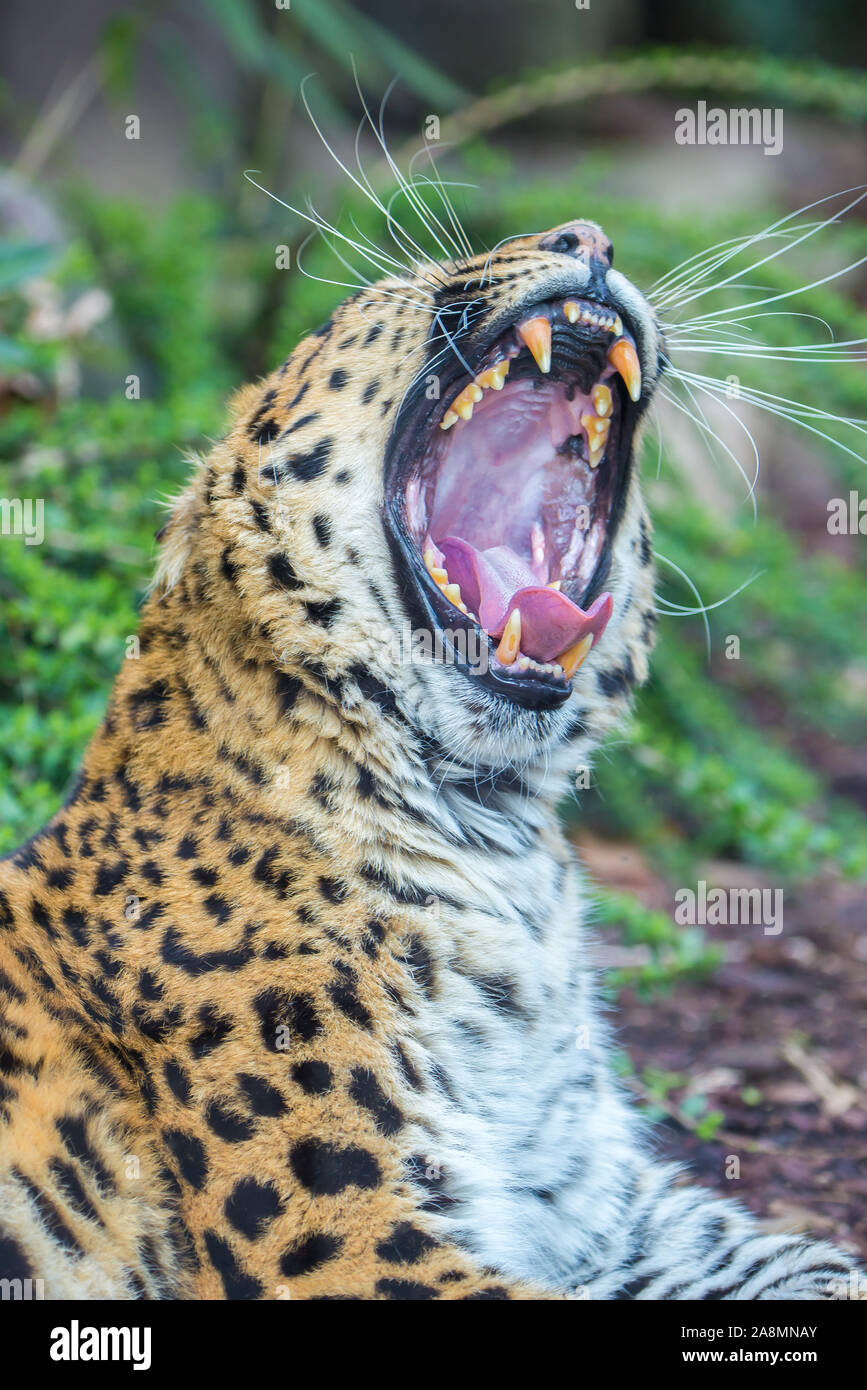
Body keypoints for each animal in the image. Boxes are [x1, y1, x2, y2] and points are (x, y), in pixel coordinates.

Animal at [0, 216, 859, 1300]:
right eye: (408, 281)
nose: (589, 236)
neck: (494, 837)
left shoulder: (597, 1208)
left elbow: (800, 1258)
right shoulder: (356, 1241)